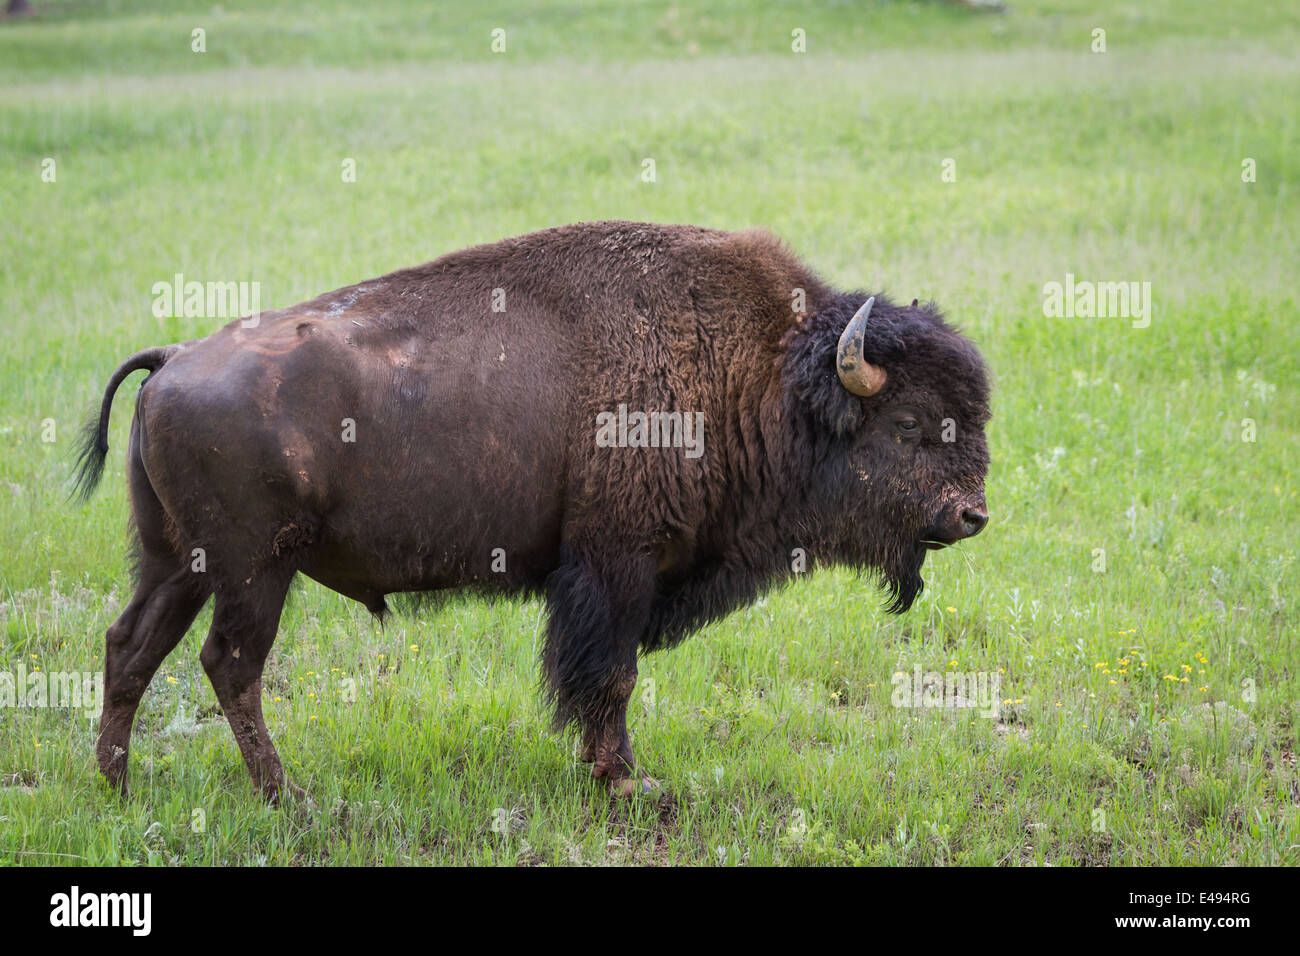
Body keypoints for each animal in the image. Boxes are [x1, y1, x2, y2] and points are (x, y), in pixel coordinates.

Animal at [75, 221, 991, 799]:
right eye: (909, 423)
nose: (972, 516)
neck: (762, 373)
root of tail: (174, 358)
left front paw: (611, 773)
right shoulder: (616, 565)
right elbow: (610, 676)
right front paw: (626, 781)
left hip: (175, 562)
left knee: (131, 647)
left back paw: (118, 785)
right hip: (254, 570)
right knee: (229, 664)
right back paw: (282, 795)